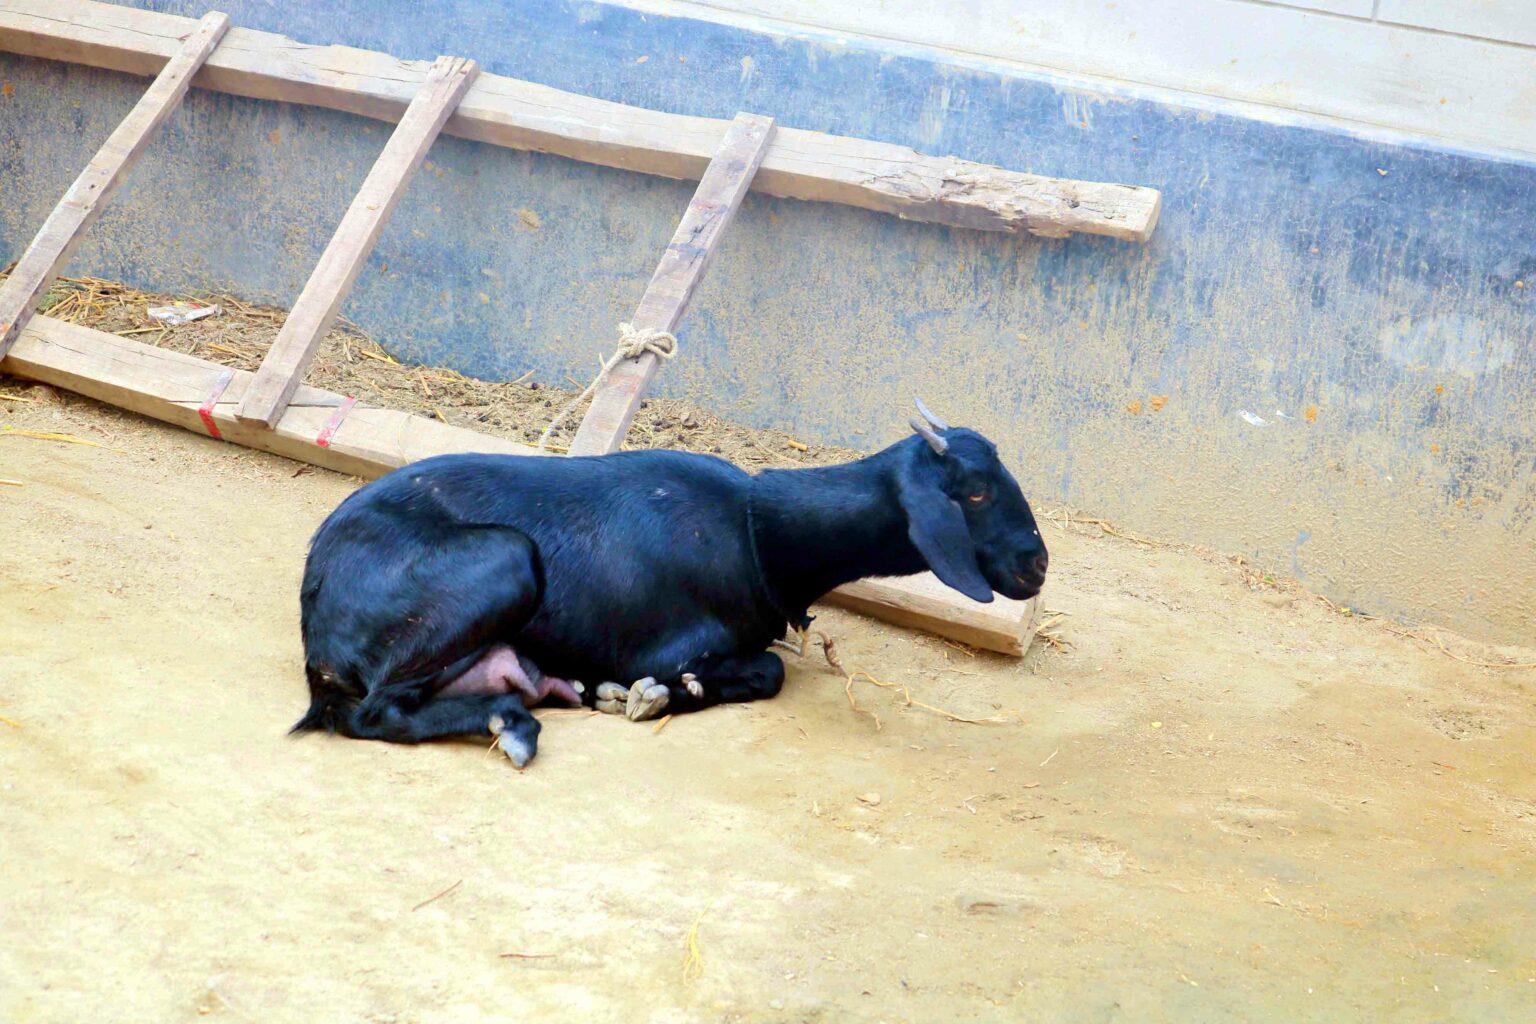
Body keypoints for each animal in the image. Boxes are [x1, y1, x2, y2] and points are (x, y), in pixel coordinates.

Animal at [292, 402, 1048, 767]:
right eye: (975, 493)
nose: (1036, 565)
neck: (757, 529)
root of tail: (317, 616)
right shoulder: (666, 642)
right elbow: (768, 670)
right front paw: (657, 694)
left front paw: (640, 695)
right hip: (502, 559)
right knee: (367, 713)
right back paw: (515, 726)